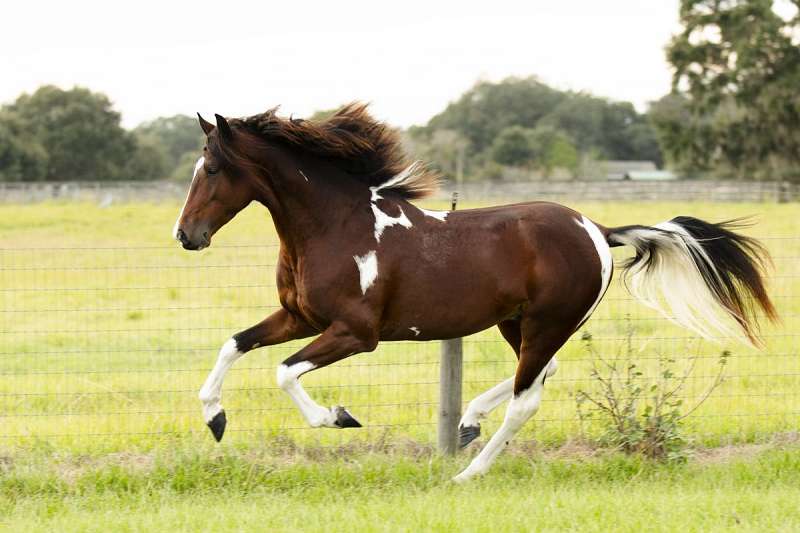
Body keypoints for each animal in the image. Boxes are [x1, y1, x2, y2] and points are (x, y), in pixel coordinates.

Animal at [173, 103, 776, 482]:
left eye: (214, 167)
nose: (186, 235)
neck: (335, 225)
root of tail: (598, 230)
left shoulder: (356, 333)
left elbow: (283, 372)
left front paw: (339, 417)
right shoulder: (298, 318)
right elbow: (234, 344)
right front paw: (215, 420)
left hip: (547, 323)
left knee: (528, 396)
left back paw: (469, 470)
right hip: (519, 323)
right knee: (537, 376)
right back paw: (466, 423)